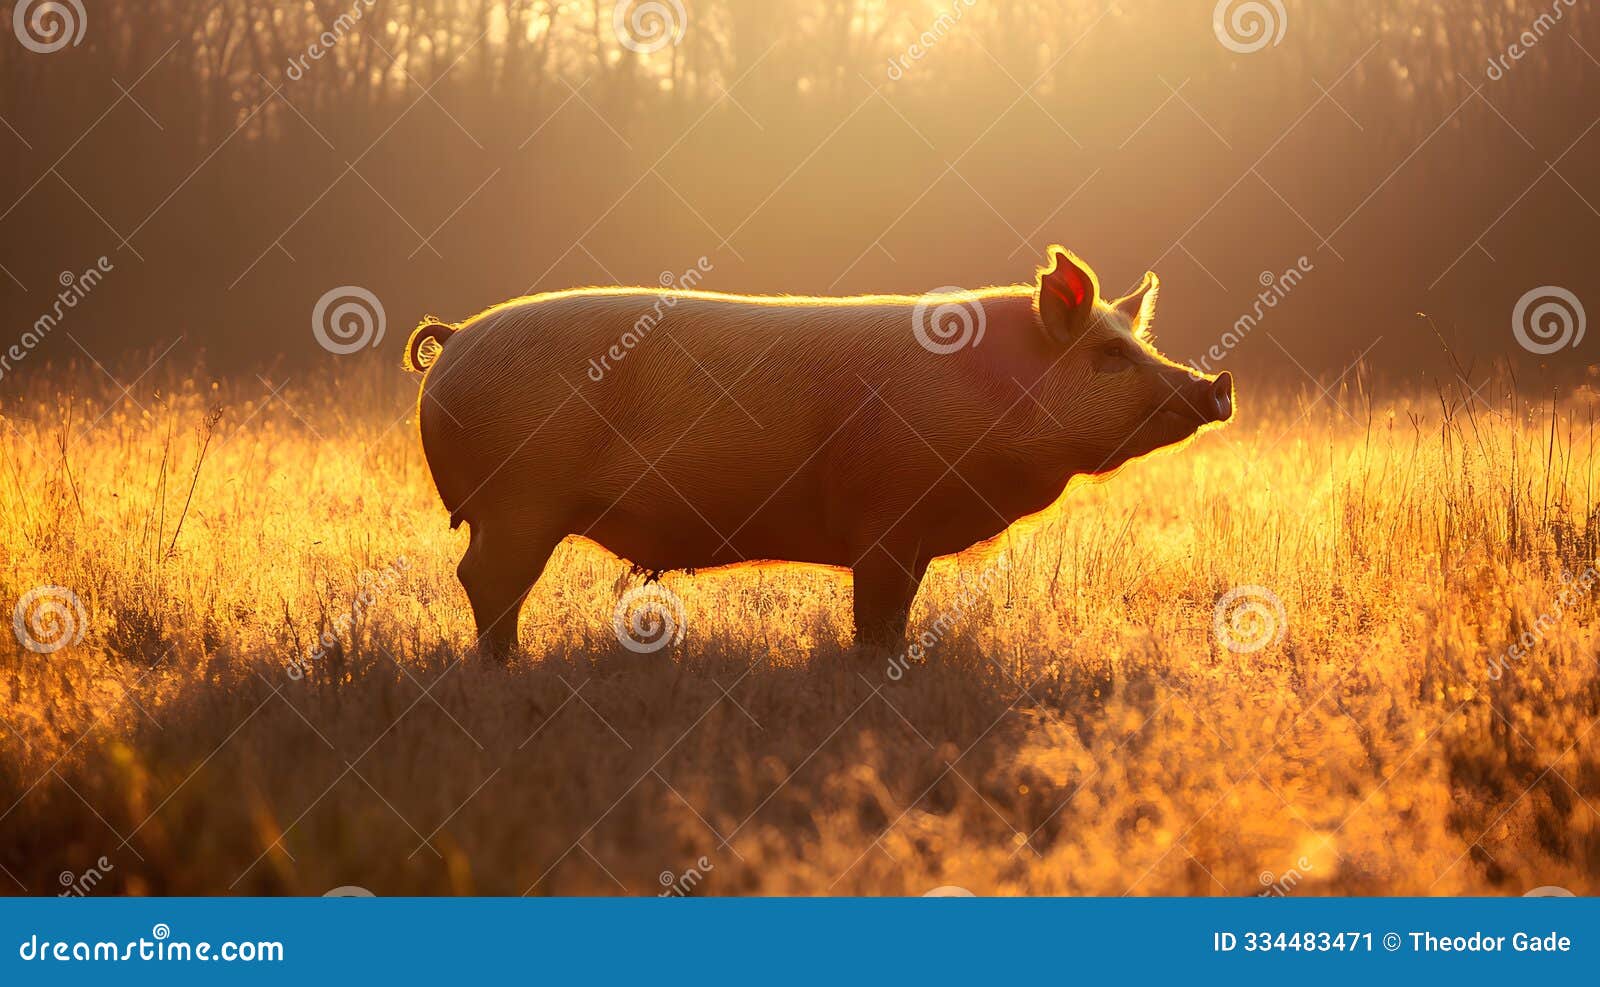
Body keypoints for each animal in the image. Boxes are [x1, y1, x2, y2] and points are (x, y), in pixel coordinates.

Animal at [405, 247, 1234, 659]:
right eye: (1108, 356)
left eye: (1137, 342)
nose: (1213, 385)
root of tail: (455, 339)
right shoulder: (887, 522)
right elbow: (877, 613)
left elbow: (898, 613)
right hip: (518, 503)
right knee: (486, 580)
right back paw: (505, 666)